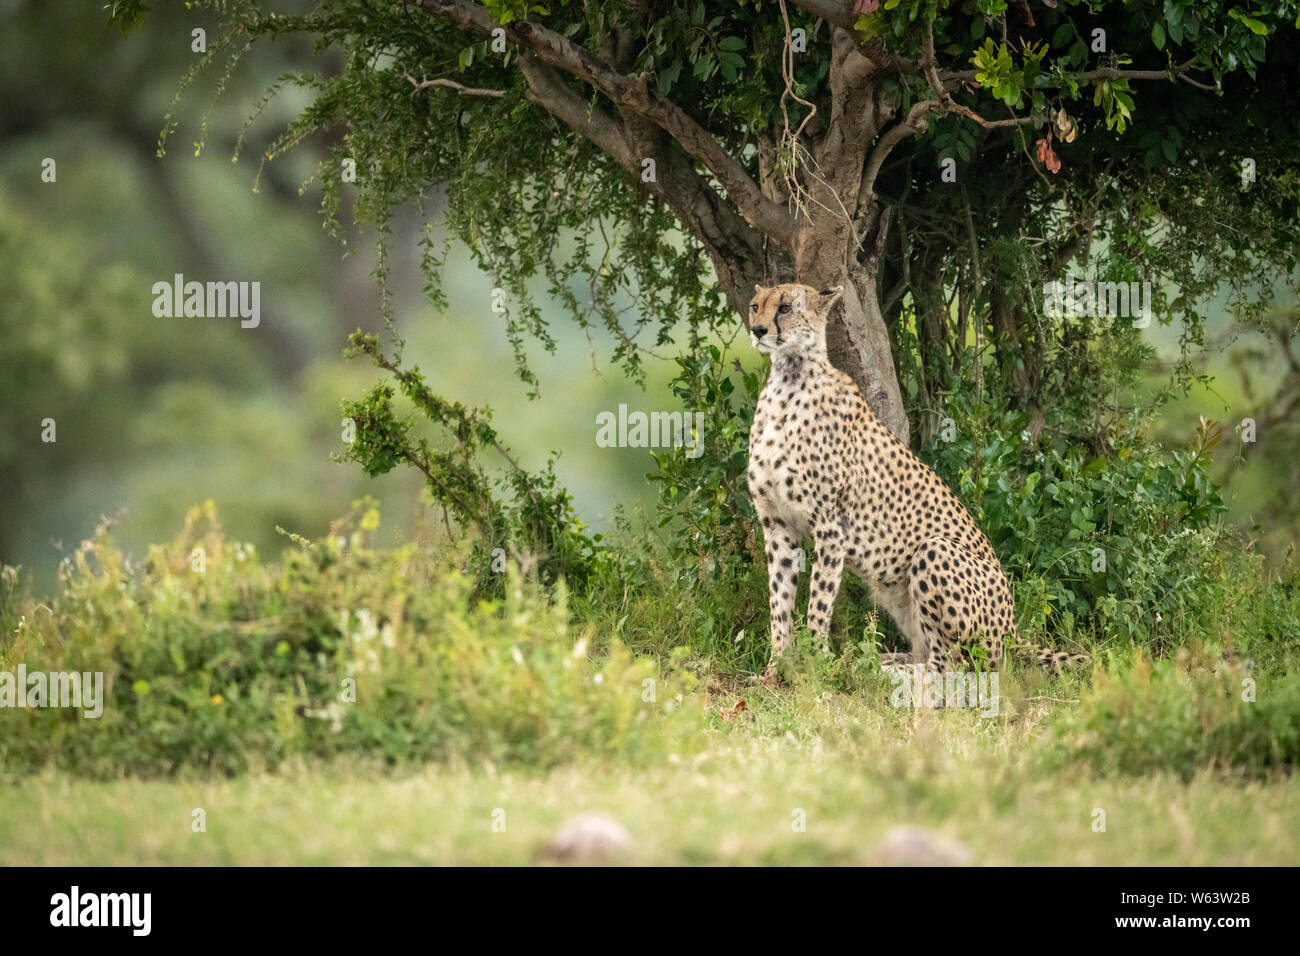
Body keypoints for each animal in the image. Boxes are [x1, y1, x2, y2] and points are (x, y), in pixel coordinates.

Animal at [744, 281, 1086, 684]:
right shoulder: (777, 525)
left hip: (934, 551)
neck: (789, 376)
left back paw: (880, 672)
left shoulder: (831, 526)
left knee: (956, 667)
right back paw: (878, 660)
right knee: (929, 654)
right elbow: (779, 603)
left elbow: (819, 602)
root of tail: (1013, 630)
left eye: (785, 308)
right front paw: (774, 669)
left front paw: (816, 666)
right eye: (755, 306)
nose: (758, 330)